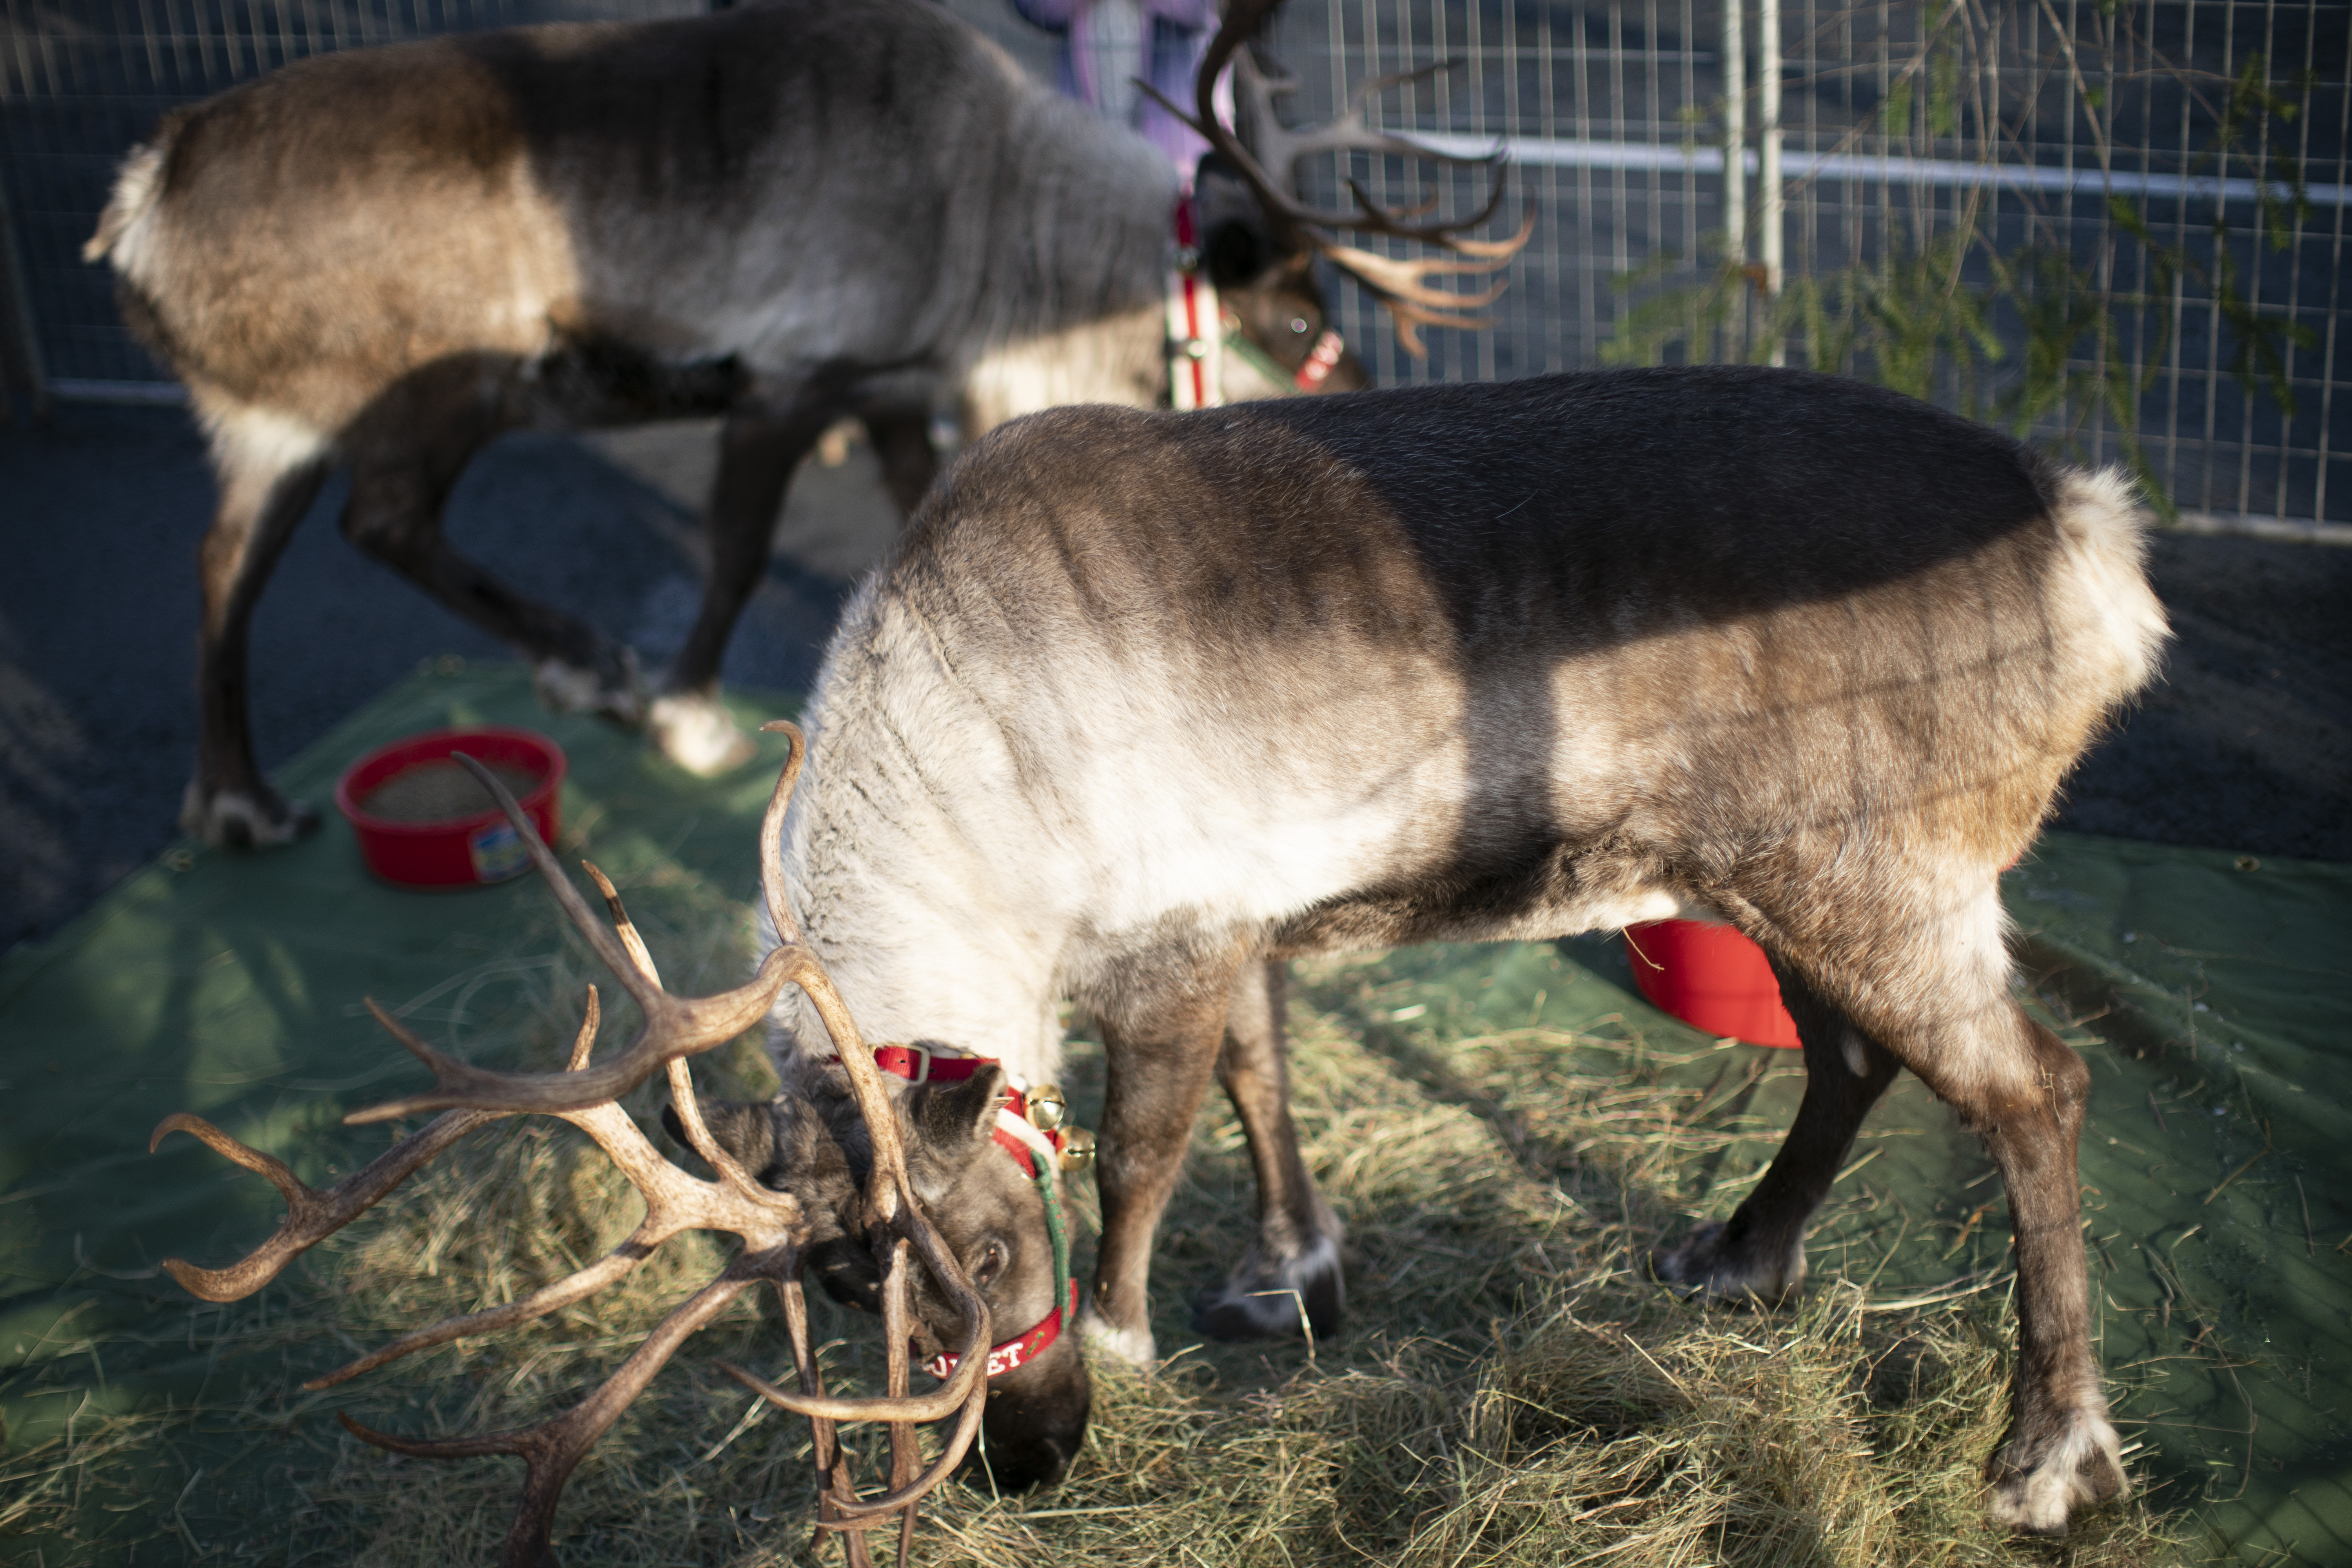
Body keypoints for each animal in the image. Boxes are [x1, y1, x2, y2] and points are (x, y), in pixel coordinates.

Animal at [84, 0, 1528, 850]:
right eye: (1293, 313)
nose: (1373, 420)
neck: (1001, 224)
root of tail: (147, 186)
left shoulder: (891, 389)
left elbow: (913, 533)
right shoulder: (789, 376)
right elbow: (734, 553)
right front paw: (689, 717)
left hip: (268, 421)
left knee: (226, 563)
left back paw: (239, 800)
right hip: (436, 385)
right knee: (381, 521)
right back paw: (587, 664)